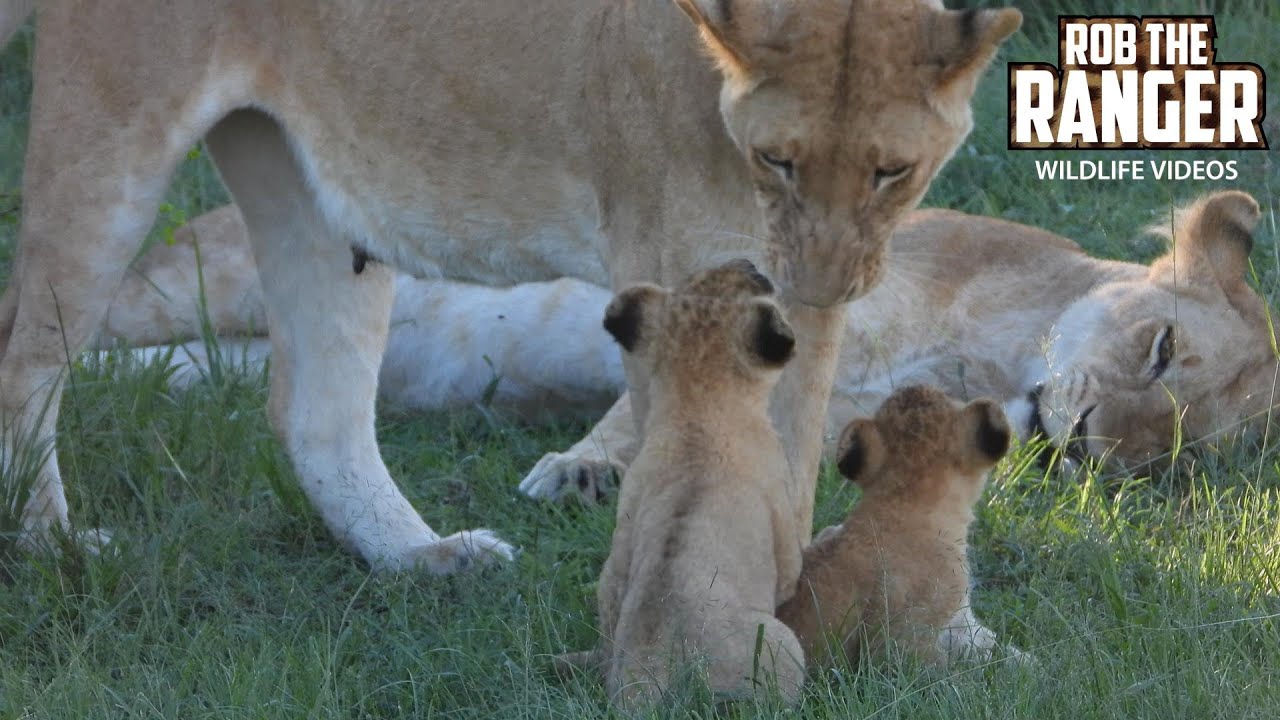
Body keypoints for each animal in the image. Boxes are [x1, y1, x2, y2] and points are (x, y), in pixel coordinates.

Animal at [0, 0, 1019, 570]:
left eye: (892, 171)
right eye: (780, 159)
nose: (819, 286)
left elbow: (793, 464)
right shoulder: (669, 273)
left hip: (311, 186)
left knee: (312, 414)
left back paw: (424, 559)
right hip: (114, 136)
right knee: (27, 357)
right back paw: (51, 549)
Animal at [572, 261, 806, 707]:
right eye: (755, 283)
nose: (750, 264)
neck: (699, 409)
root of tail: (647, 667)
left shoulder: (625, 522)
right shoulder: (784, 529)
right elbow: (791, 571)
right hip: (782, 647)